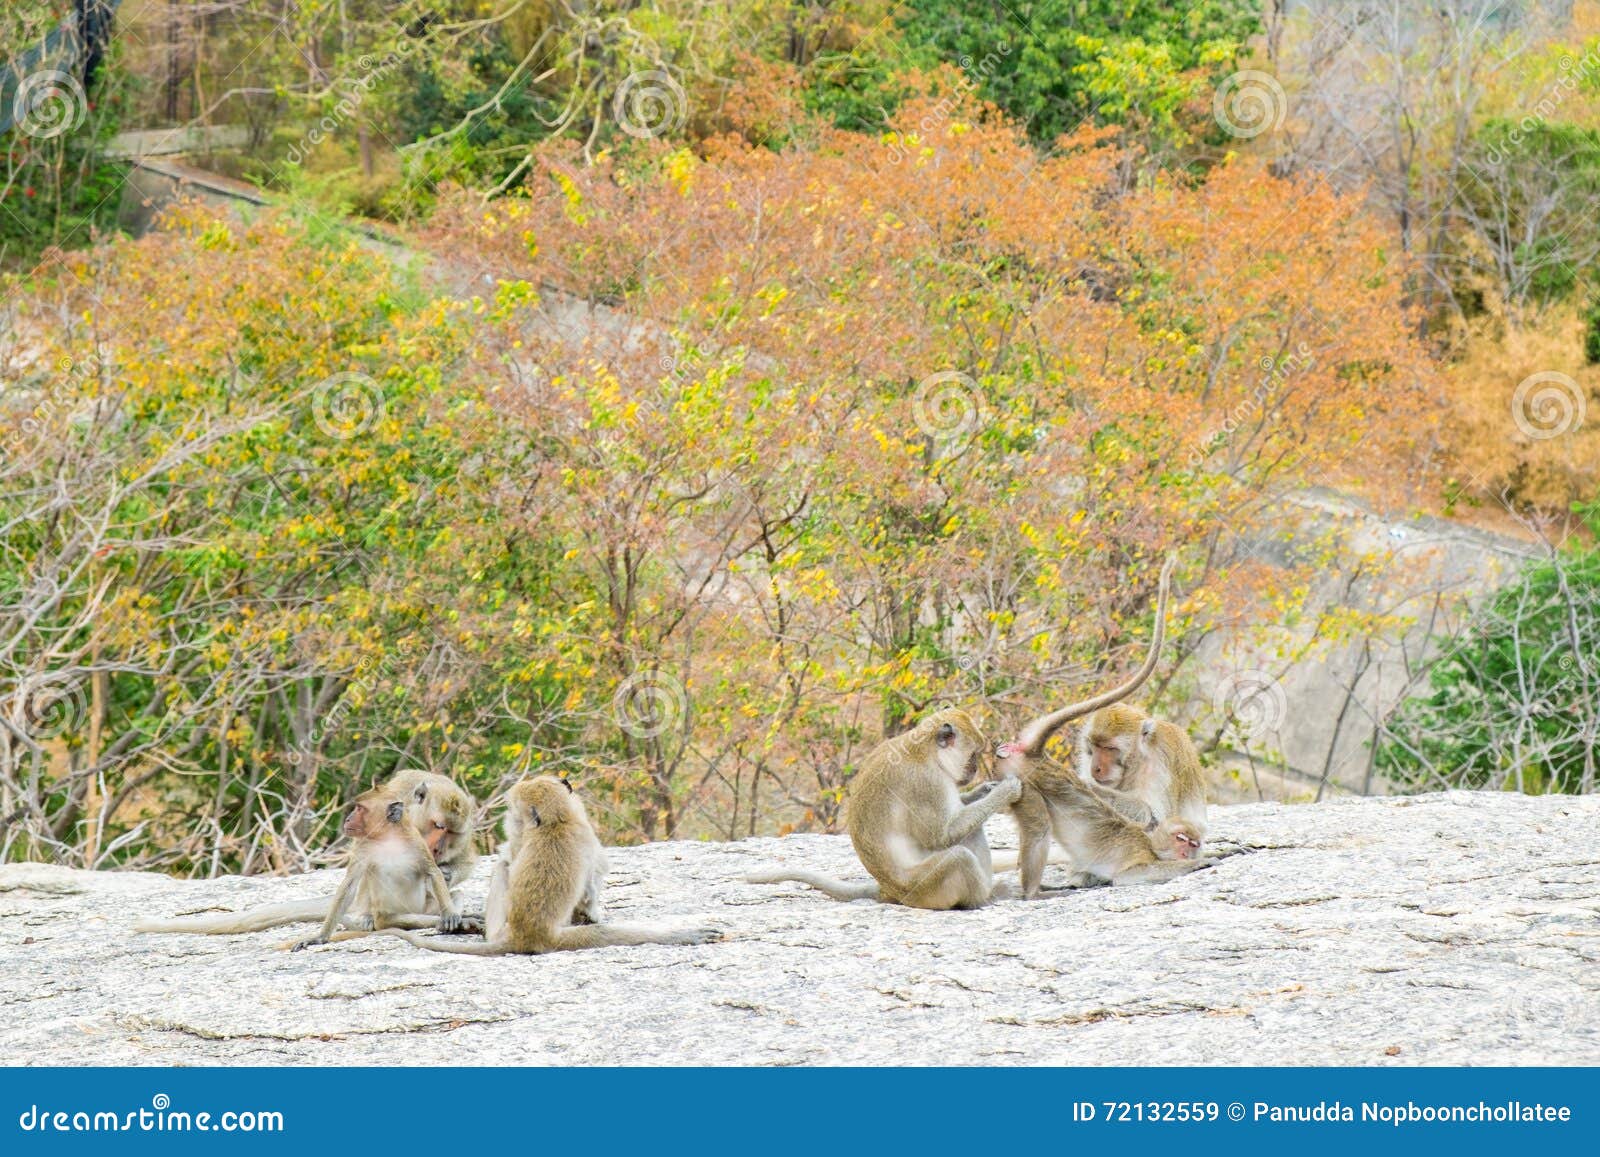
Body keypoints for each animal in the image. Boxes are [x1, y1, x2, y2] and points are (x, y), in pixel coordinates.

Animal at [134, 770, 477, 937]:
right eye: (437, 825)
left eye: (449, 832)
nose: (438, 846)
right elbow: (355, 876)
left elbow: (450, 867)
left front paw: (447, 882)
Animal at [332, 777, 719, 955]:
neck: (558, 821)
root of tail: (529, 934)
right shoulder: (588, 838)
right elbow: (593, 883)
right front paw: (594, 910)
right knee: (503, 869)